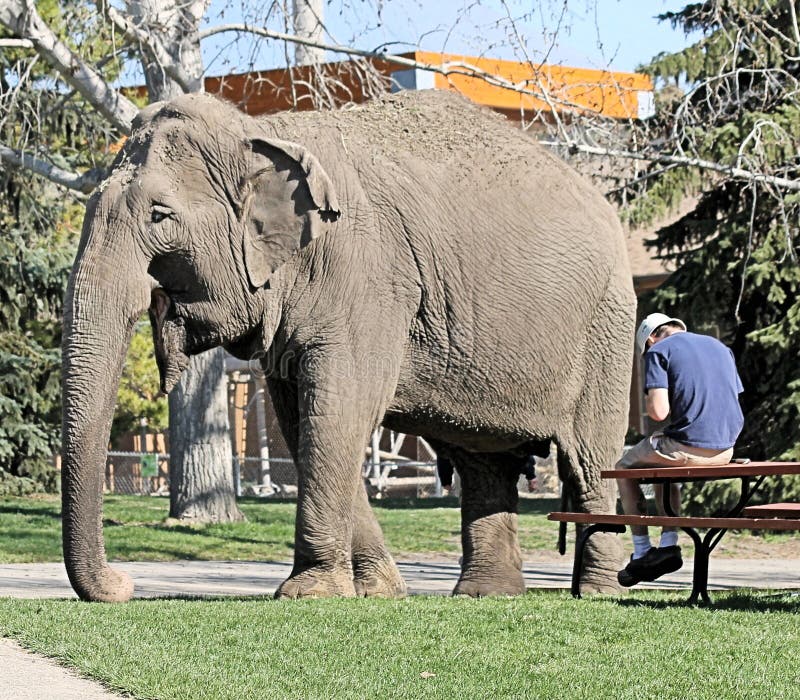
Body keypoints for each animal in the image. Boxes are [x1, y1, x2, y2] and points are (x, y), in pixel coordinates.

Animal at [61, 89, 635, 602]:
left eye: (160, 215)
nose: (124, 585)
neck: (259, 131)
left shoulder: (368, 276)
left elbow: (339, 406)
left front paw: (309, 593)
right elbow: (302, 419)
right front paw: (378, 590)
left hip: (607, 327)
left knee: (590, 459)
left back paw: (597, 592)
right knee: (484, 463)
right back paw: (484, 595)